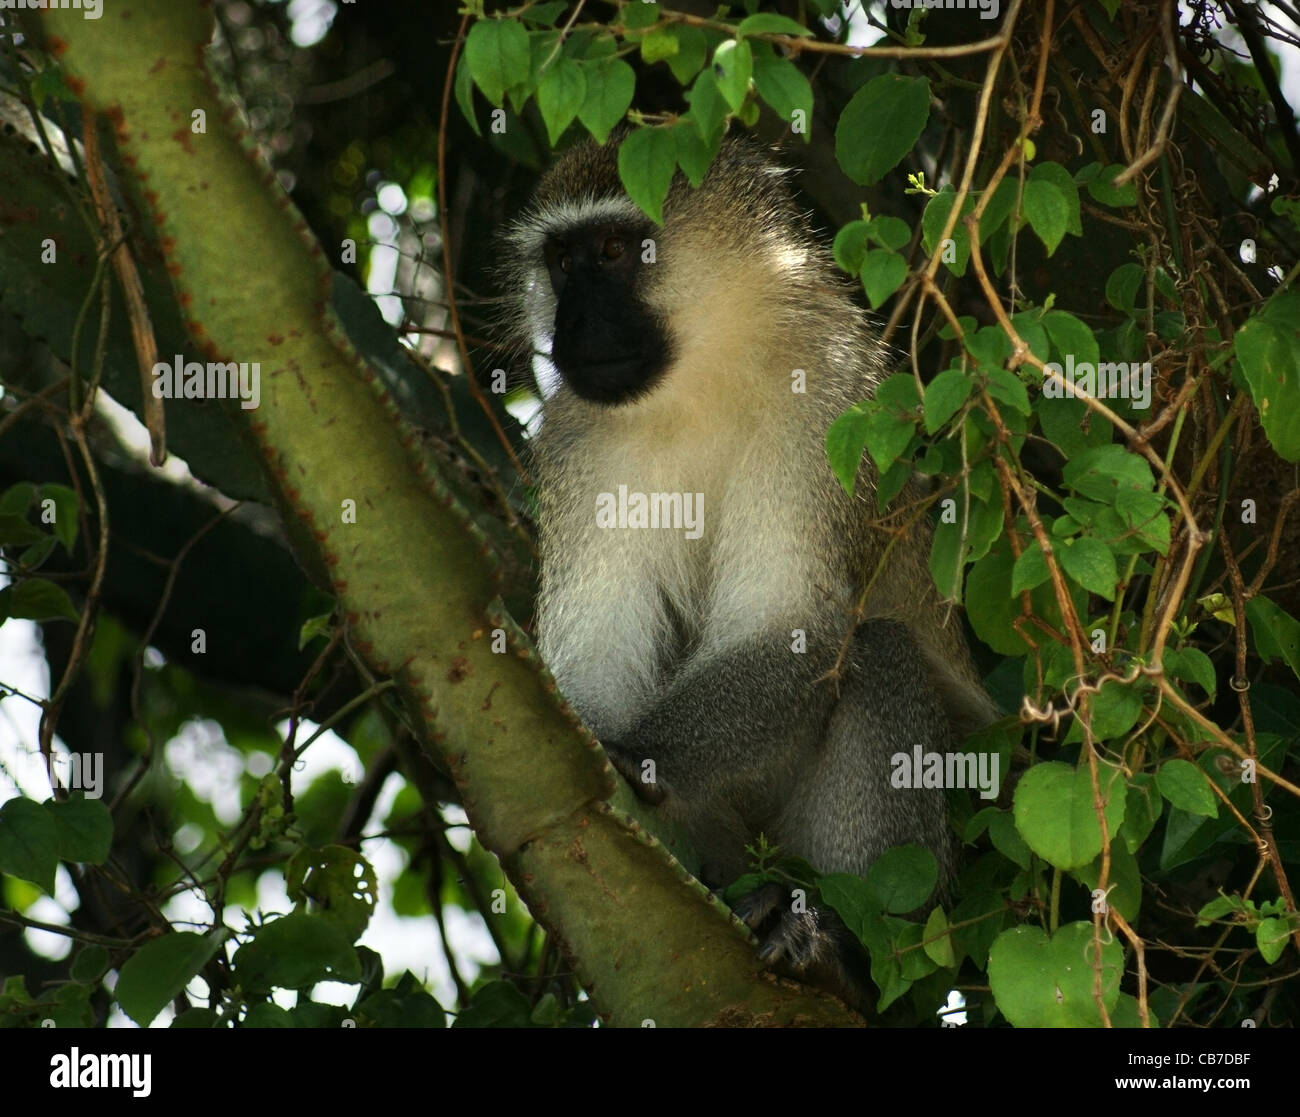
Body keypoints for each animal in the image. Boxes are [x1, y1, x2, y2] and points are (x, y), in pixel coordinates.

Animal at [500, 130, 997, 1010]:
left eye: (615, 250)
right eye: (561, 261)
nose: (574, 322)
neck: (700, 375)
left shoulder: (832, 402)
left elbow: (792, 623)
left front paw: (631, 754)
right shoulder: (577, 439)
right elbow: (595, 659)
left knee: (879, 652)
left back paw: (841, 959)